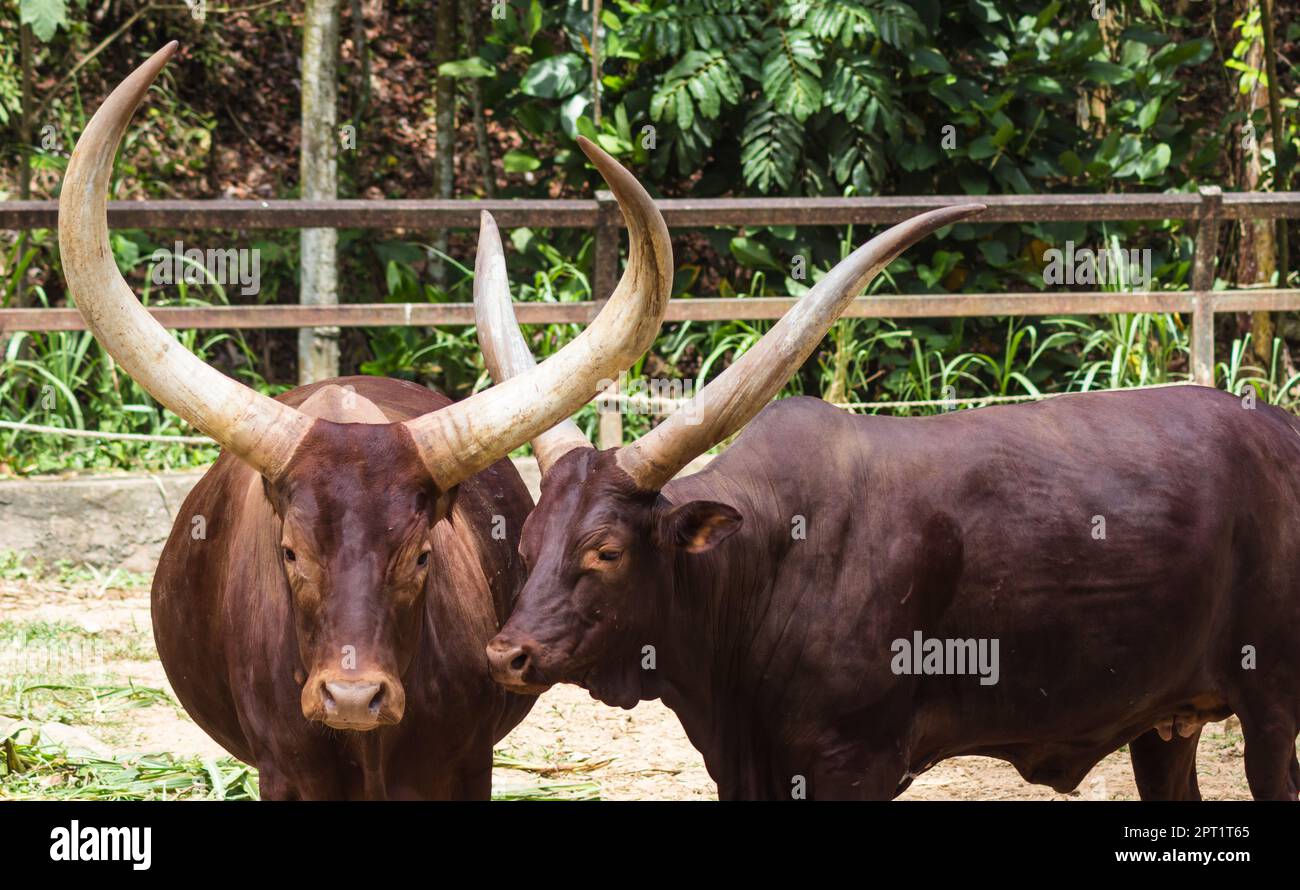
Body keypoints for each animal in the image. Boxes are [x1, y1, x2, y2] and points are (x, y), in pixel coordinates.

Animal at [478, 204, 1300, 801]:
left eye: (607, 551)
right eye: (528, 545)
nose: (505, 654)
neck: (768, 562)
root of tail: (1277, 426)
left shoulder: (856, 762)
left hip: (1271, 704)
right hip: (1166, 719)